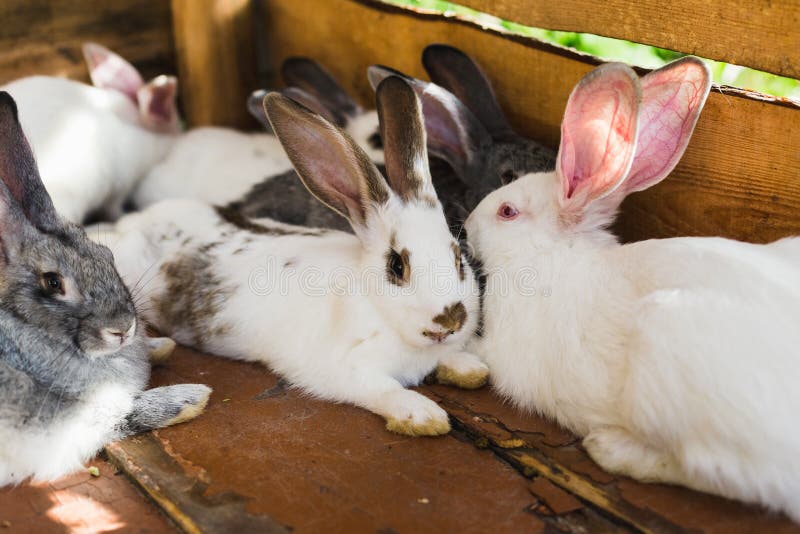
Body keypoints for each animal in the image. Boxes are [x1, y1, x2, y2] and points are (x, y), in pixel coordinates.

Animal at [0, 91, 211, 486]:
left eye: (106, 254)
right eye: (53, 283)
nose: (123, 329)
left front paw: (159, 346)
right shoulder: (66, 424)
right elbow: (124, 413)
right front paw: (191, 399)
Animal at [92, 77, 486, 437]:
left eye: (458, 257)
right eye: (397, 266)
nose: (450, 320)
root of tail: (132, 224)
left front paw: (471, 369)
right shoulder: (346, 369)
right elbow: (383, 390)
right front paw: (423, 415)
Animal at [465, 57, 800, 521]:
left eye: (507, 211)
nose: (466, 227)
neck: (553, 255)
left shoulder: (504, 352)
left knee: (716, 471)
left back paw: (609, 448)